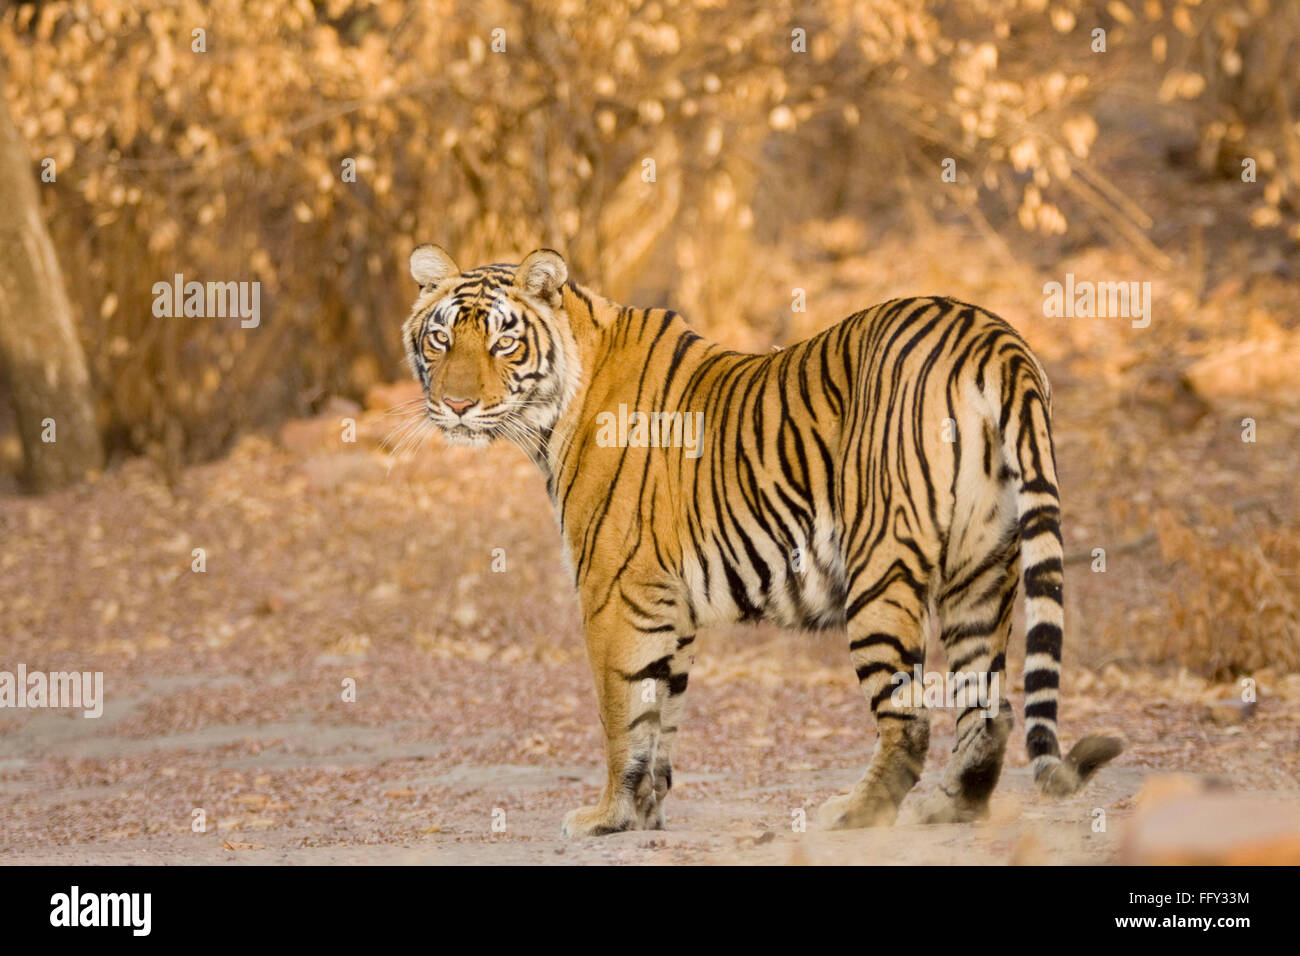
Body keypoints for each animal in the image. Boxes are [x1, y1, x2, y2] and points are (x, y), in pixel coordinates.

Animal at [401, 243, 1123, 837]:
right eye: (441, 339)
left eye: (504, 343)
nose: (457, 406)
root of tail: (990, 334)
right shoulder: (666, 605)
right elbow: (661, 711)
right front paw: (645, 813)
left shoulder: (614, 591)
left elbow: (621, 713)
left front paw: (605, 817)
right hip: (982, 567)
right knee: (989, 710)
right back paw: (949, 808)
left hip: (880, 568)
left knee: (910, 718)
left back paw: (853, 813)